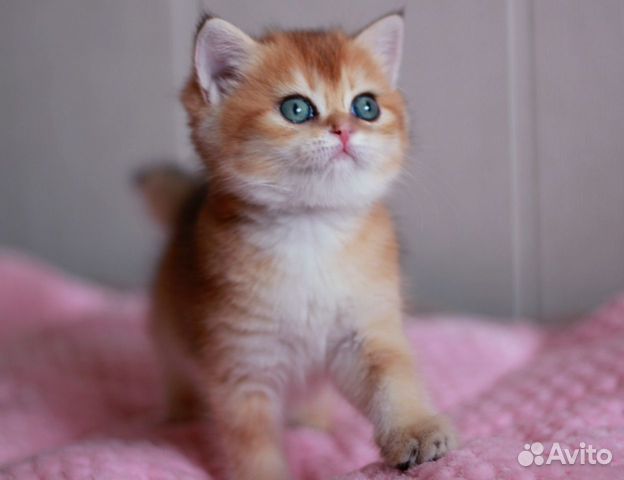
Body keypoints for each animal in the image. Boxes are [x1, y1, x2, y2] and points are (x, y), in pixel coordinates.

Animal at [148, 12, 456, 480]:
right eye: (296, 109)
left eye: (366, 107)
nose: (344, 129)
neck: (311, 233)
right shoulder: (242, 361)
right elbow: (252, 444)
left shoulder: (365, 332)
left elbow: (391, 383)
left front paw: (414, 431)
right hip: (170, 339)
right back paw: (180, 415)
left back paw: (310, 423)